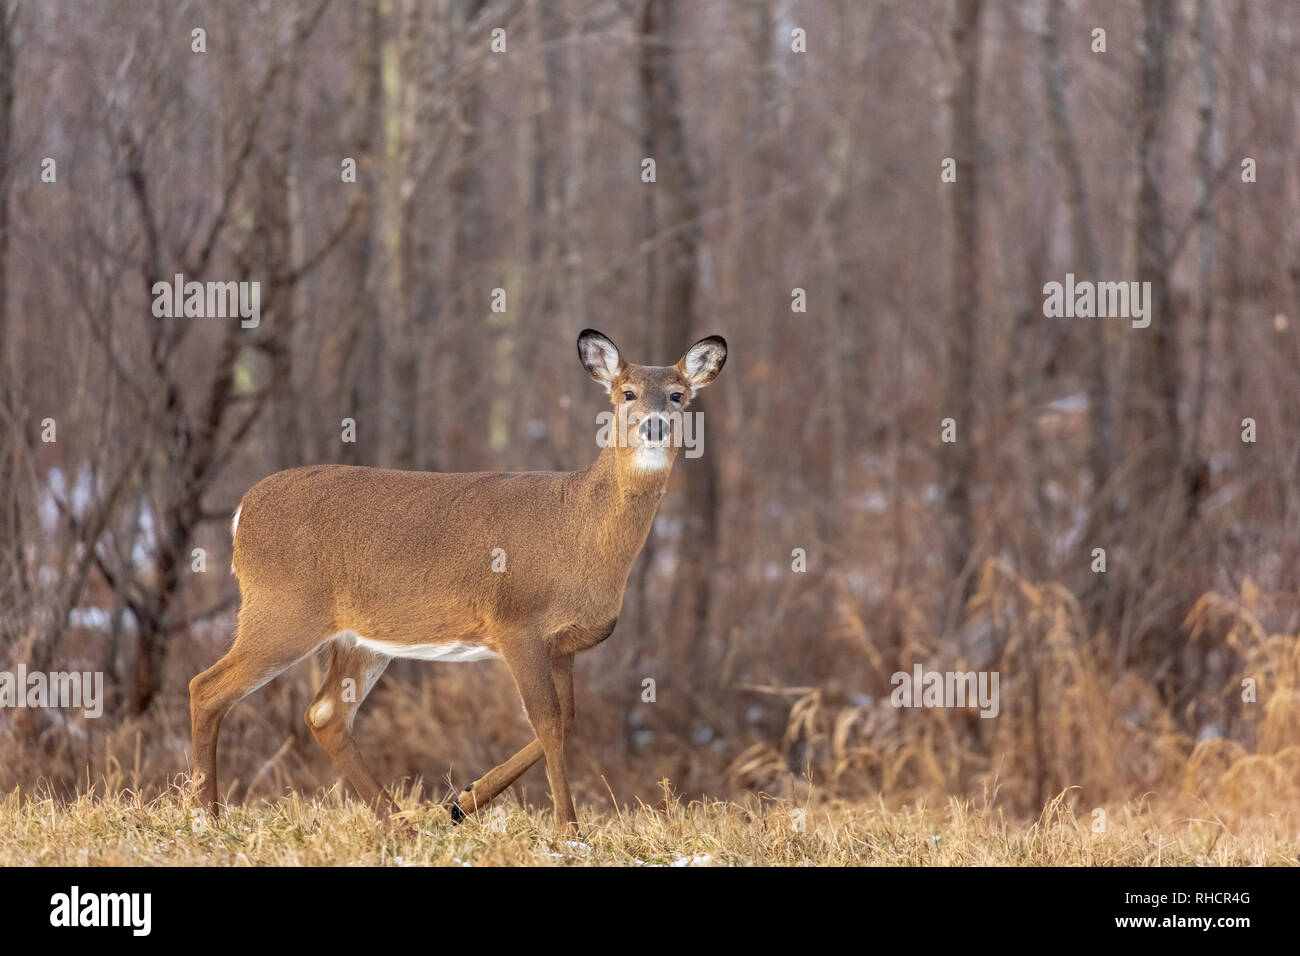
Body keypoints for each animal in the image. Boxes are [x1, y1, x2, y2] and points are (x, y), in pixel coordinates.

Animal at [189, 329, 727, 832]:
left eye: (677, 395)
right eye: (627, 393)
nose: (655, 425)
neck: (577, 529)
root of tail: (242, 512)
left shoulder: (562, 645)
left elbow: (567, 721)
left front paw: (462, 802)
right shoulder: (516, 623)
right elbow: (549, 724)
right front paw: (568, 830)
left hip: (361, 638)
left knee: (325, 716)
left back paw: (402, 826)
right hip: (282, 609)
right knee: (206, 687)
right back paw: (206, 816)